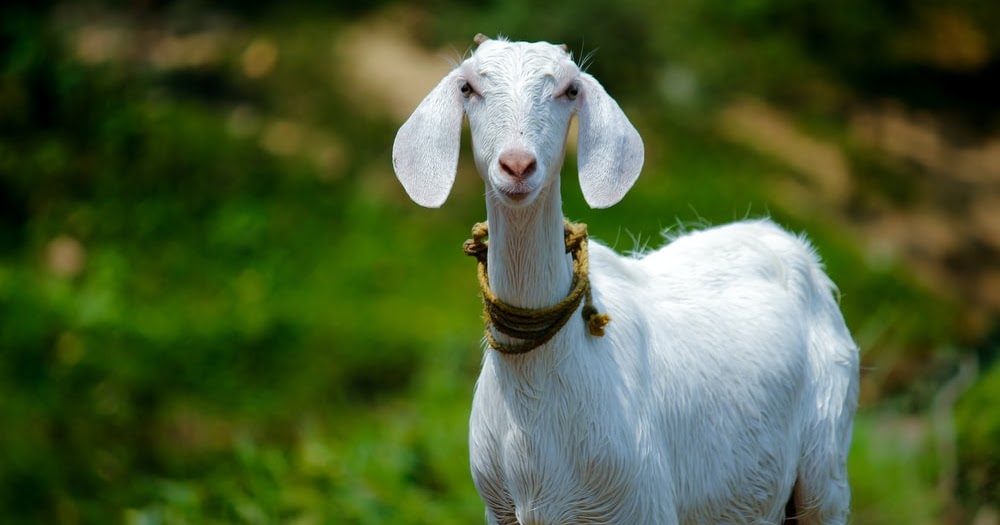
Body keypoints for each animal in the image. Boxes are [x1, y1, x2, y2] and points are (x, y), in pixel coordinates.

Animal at [392, 34, 859, 525]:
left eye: (570, 89)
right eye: (468, 86)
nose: (517, 166)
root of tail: (794, 247)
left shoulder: (643, 503)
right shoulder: (499, 509)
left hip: (827, 463)